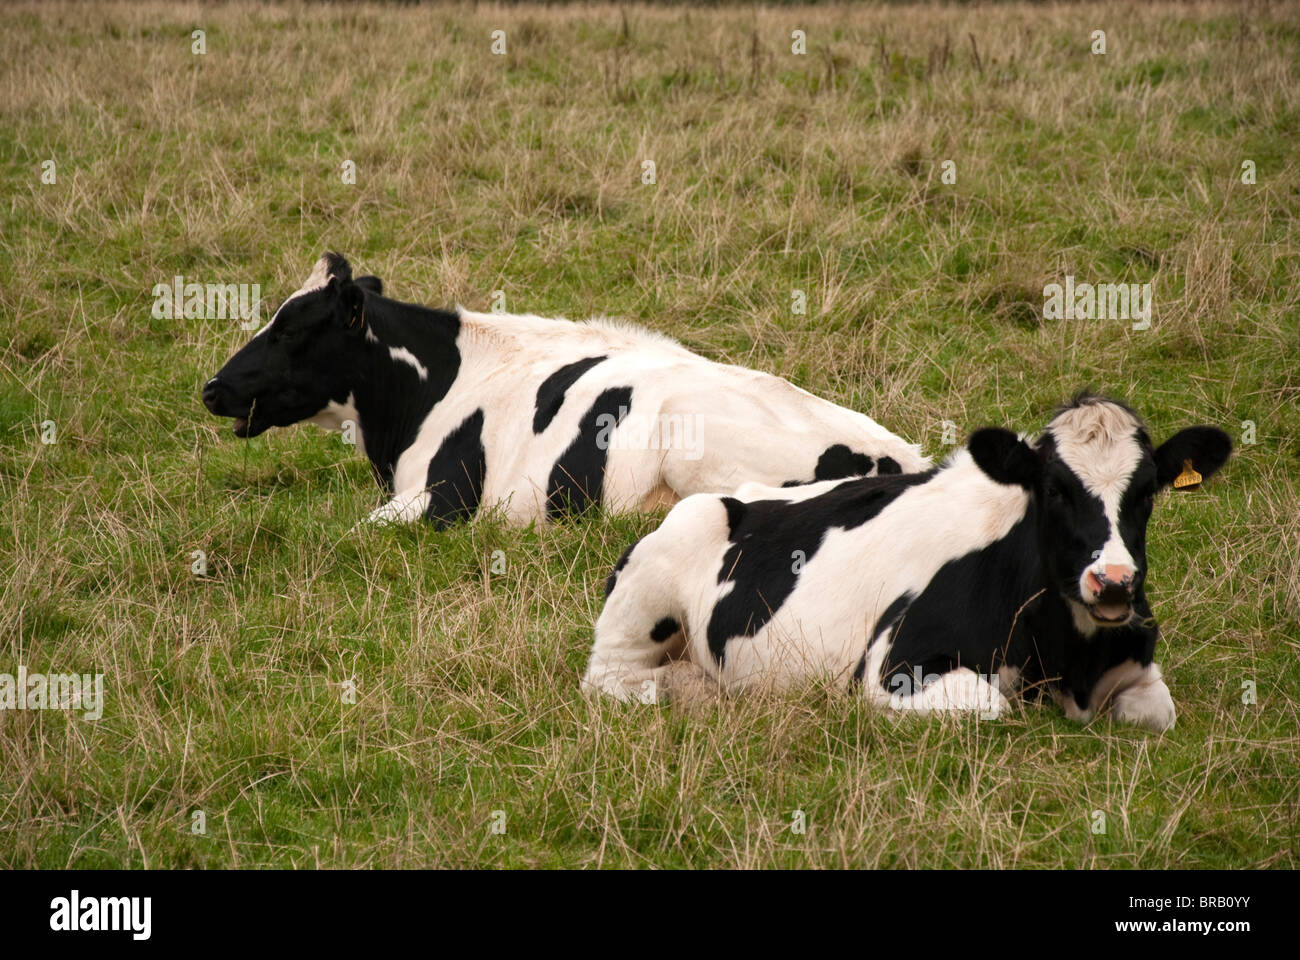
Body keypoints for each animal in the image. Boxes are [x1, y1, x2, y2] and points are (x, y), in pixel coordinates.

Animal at [583, 395, 1232, 731]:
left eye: (1146, 492)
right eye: (1054, 490)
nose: (1114, 582)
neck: (1067, 657)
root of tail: (741, 495)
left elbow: (1159, 712)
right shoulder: (893, 669)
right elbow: (993, 705)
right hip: (659, 571)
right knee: (611, 678)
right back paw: (685, 690)